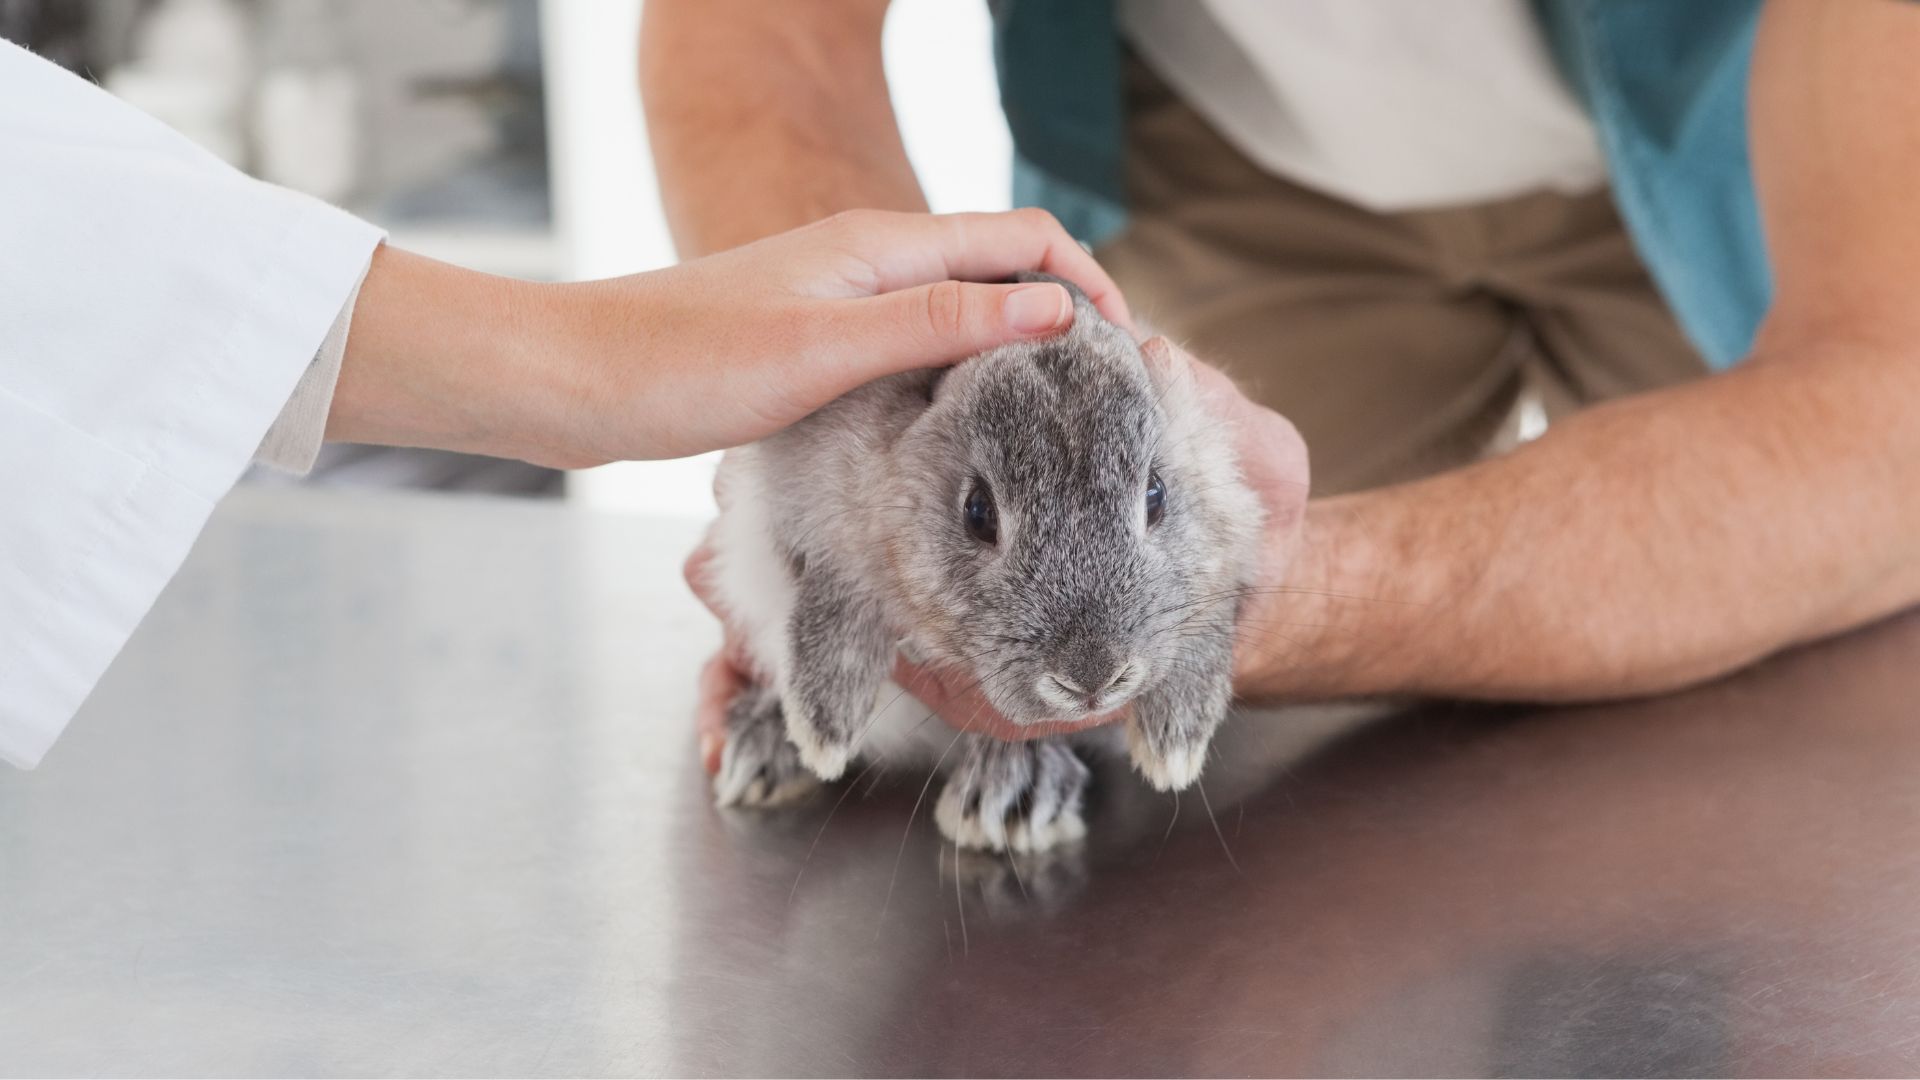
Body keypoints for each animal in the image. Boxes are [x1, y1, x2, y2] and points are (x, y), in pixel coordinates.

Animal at [701, 273, 1264, 853]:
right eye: (978, 512)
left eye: (1155, 495)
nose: (1092, 678)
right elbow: (835, 597)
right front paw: (822, 731)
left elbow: (1206, 617)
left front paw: (1174, 749)